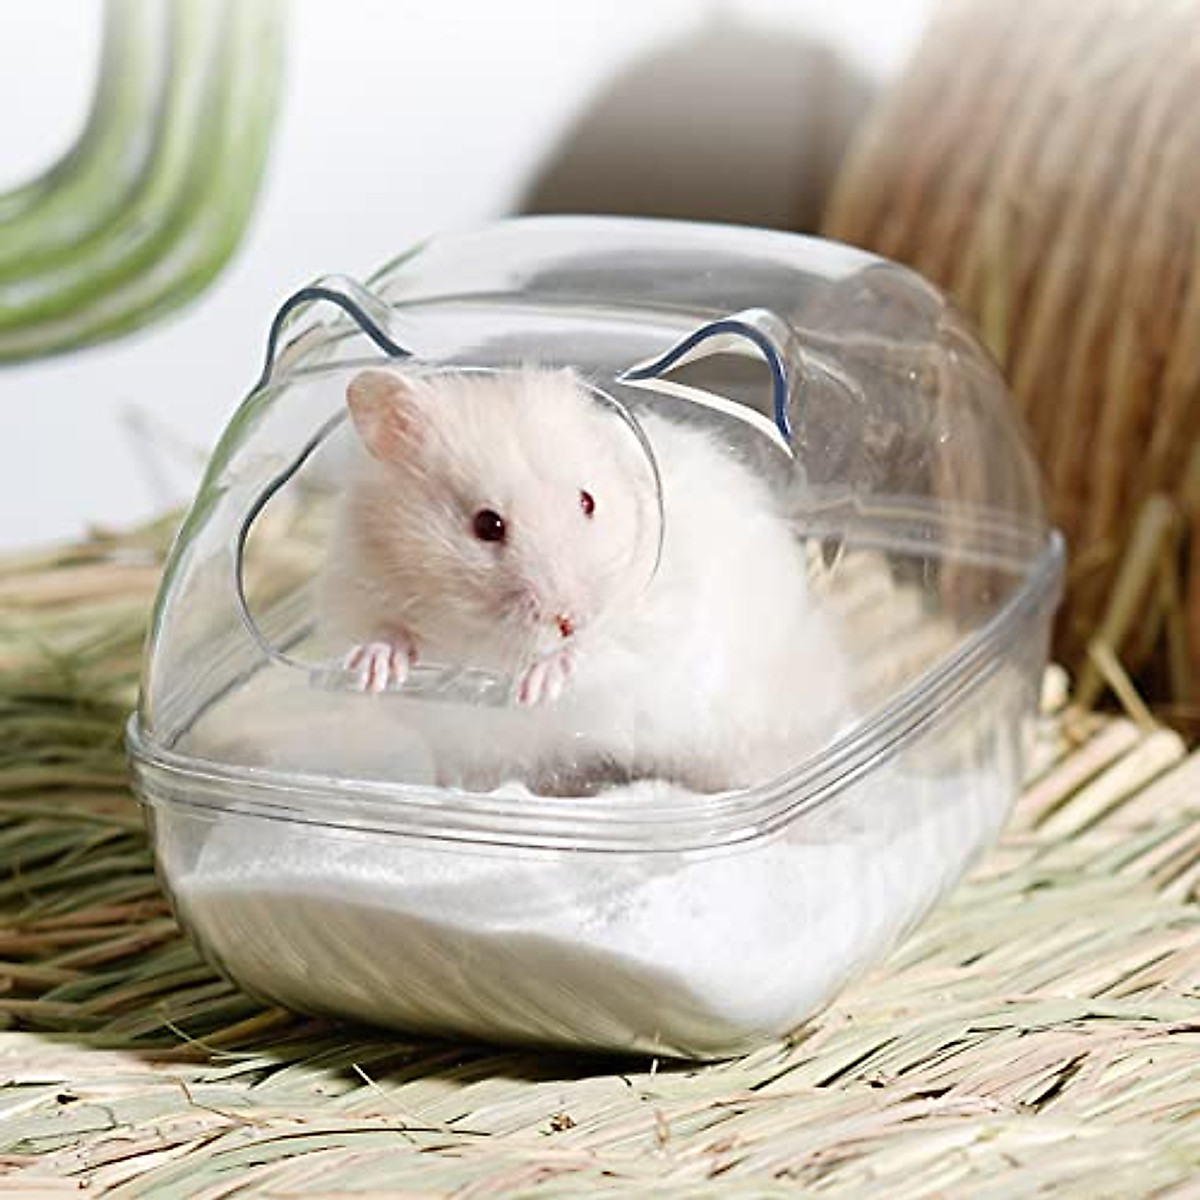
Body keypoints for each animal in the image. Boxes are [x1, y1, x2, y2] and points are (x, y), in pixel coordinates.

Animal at [318, 366, 848, 794]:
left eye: (588, 500)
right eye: (487, 524)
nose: (570, 617)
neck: (488, 636)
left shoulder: (656, 611)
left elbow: (602, 649)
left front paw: (535, 687)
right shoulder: (356, 585)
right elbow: (384, 630)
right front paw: (372, 670)